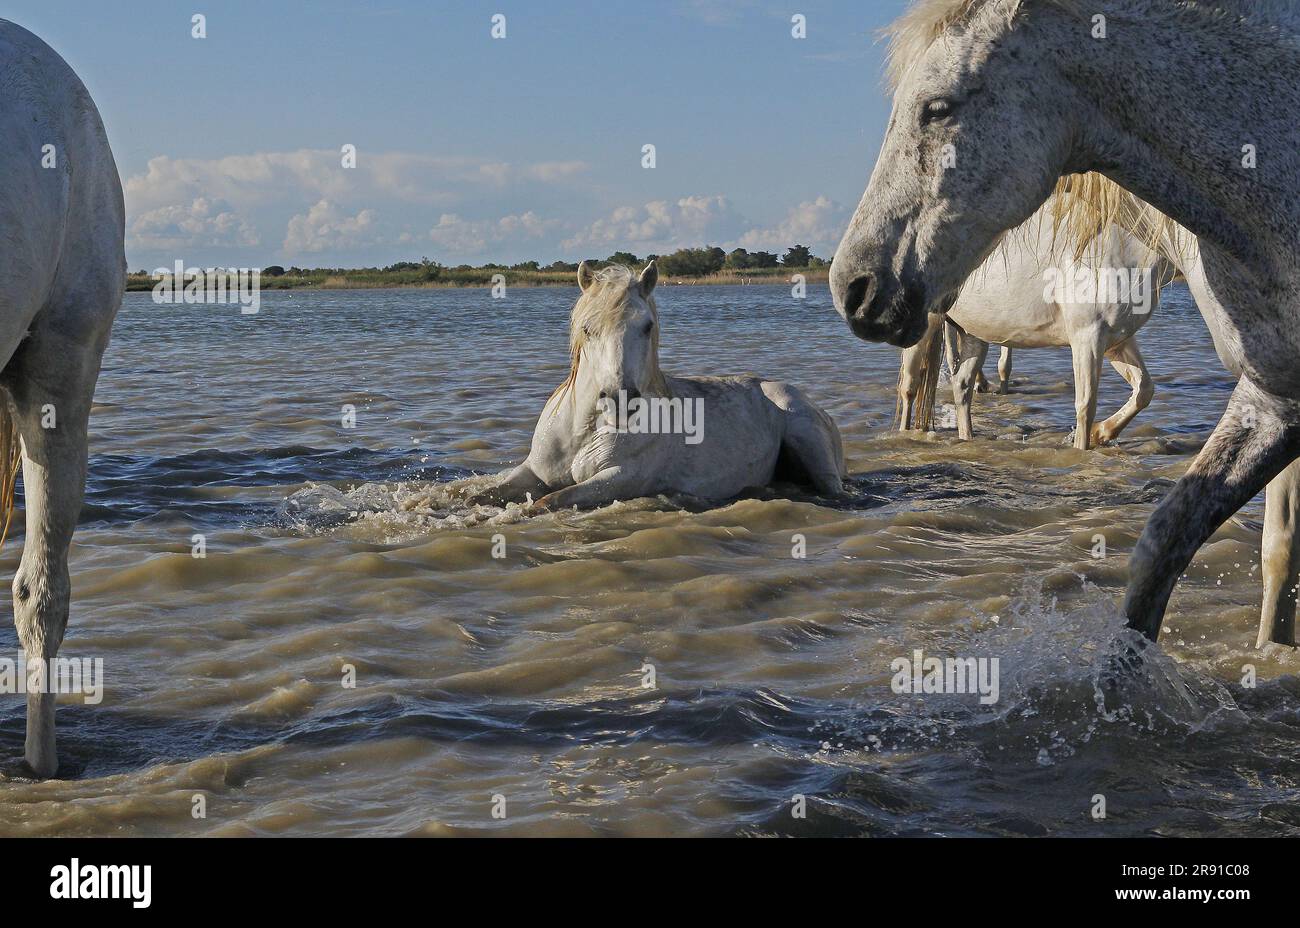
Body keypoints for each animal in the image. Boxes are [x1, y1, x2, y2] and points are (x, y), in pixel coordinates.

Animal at [467, 262, 845, 510]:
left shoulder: (620, 478)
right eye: (588, 329)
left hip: (809, 442)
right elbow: (483, 495)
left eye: (647, 326)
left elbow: (548, 501)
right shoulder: (533, 470)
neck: (583, 428)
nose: (619, 400)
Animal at [897, 195, 1171, 449]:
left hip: (973, 333)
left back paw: (968, 438)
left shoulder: (1116, 341)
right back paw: (904, 434)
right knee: (910, 386)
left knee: (961, 386)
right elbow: (1086, 406)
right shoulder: (1088, 338)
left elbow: (1144, 390)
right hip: (926, 328)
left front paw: (1101, 433)